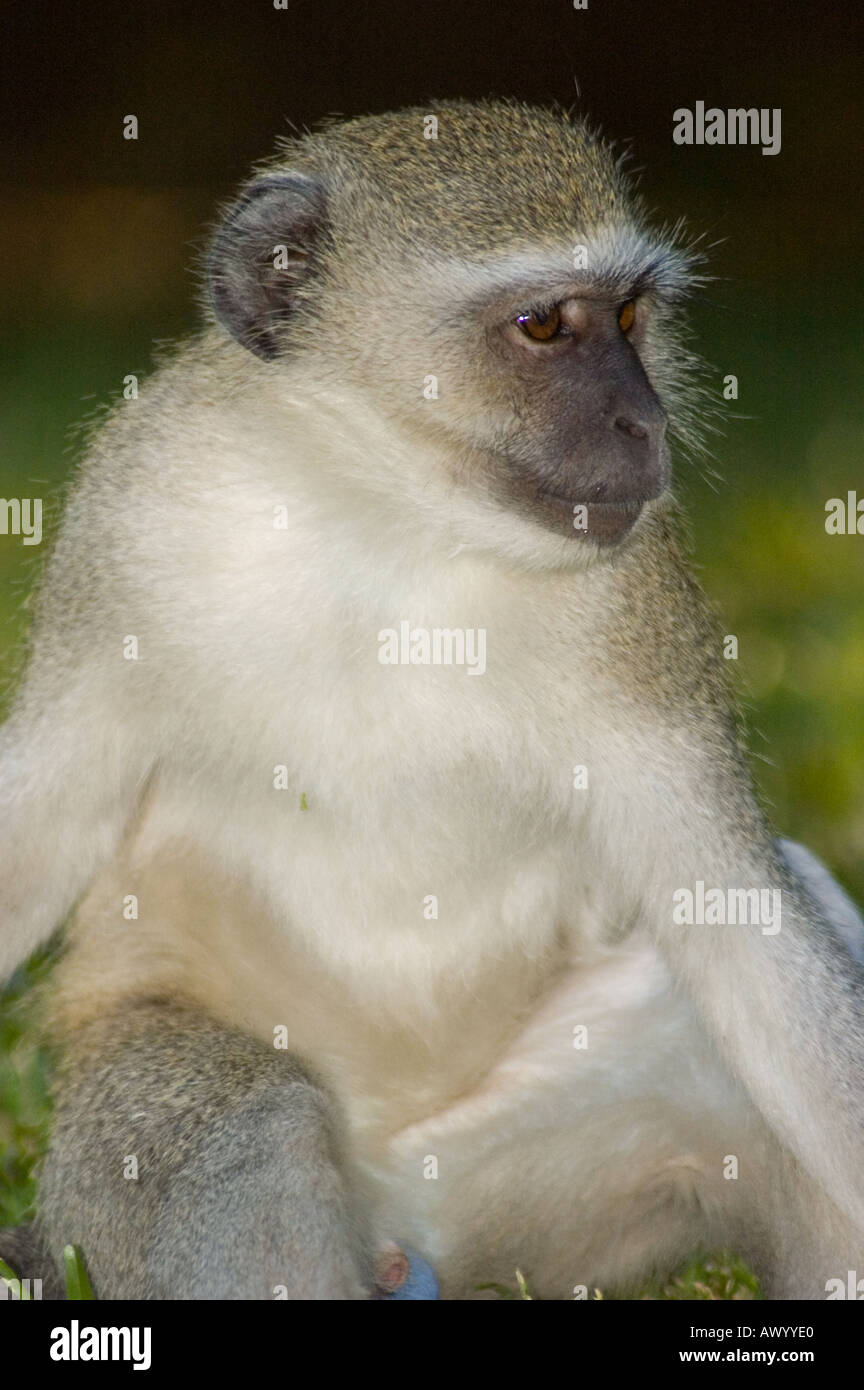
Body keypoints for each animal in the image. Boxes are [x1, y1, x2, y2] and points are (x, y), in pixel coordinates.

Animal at [0, 98, 863, 1301]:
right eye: (543, 327)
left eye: (629, 316)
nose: (645, 427)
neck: (392, 517)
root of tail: (407, 1220)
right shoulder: (130, 518)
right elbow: (37, 833)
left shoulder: (638, 603)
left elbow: (745, 936)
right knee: (247, 1119)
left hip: (527, 1198)